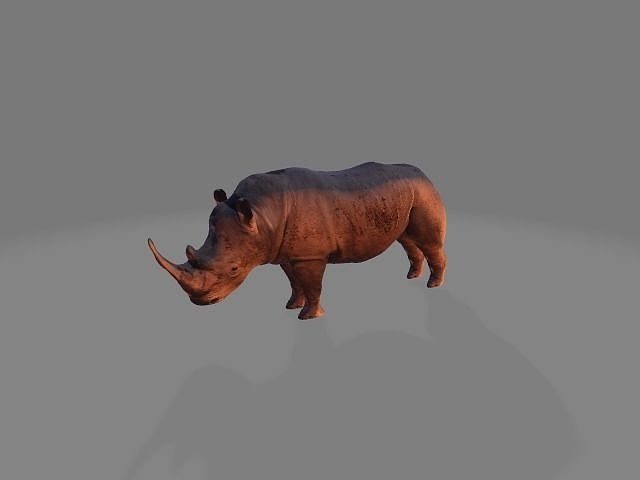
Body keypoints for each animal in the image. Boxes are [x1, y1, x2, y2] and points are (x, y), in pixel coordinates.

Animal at [148, 162, 447, 319]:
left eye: (234, 269)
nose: (200, 303)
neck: (261, 215)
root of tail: (424, 174)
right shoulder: (284, 251)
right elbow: (294, 281)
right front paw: (291, 305)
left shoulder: (310, 255)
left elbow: (313, 284)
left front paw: (308, 316)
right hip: (405, 196)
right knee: (406, 239)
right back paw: (412, 277)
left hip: (424, 194)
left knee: (427, 241)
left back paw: (434, 285)